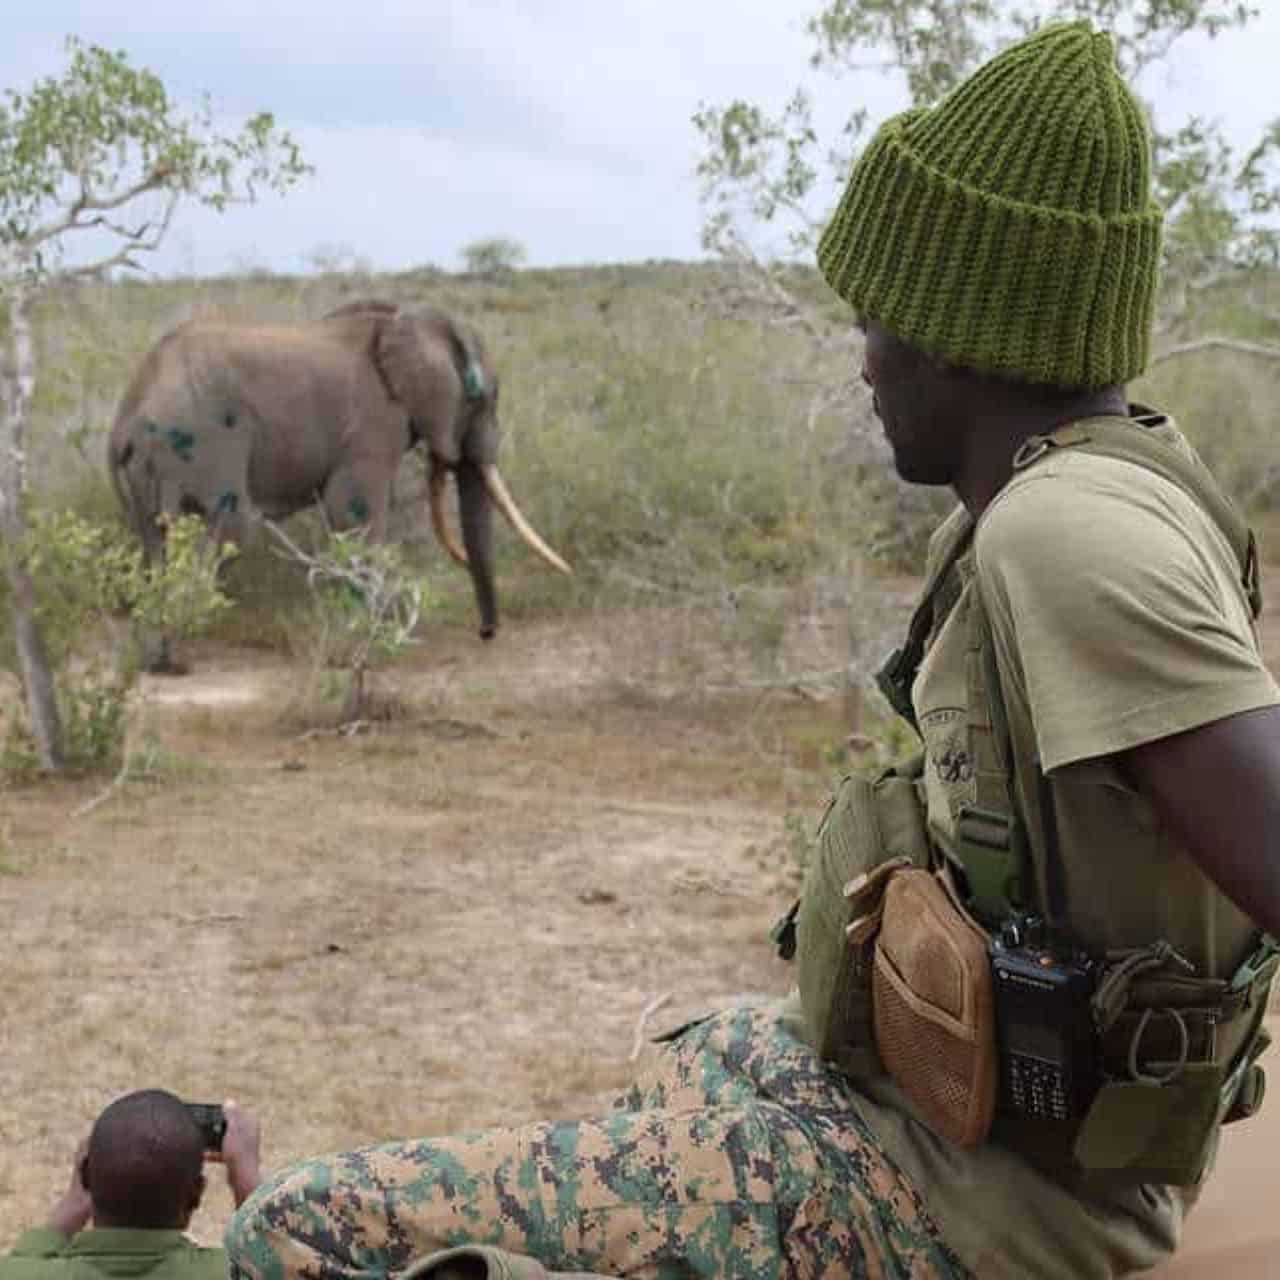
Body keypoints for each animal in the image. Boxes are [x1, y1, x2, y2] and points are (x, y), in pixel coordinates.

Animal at [107, 298, 571, 669]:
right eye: (483, 399)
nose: (487, 634)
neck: (405, 320)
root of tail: (128, 414)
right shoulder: (372, 424)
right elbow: (354, 510)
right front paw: (375, 636)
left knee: (151, 539)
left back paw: (153, 658)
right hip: (199, 441)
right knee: (230, 527)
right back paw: (175, 660)